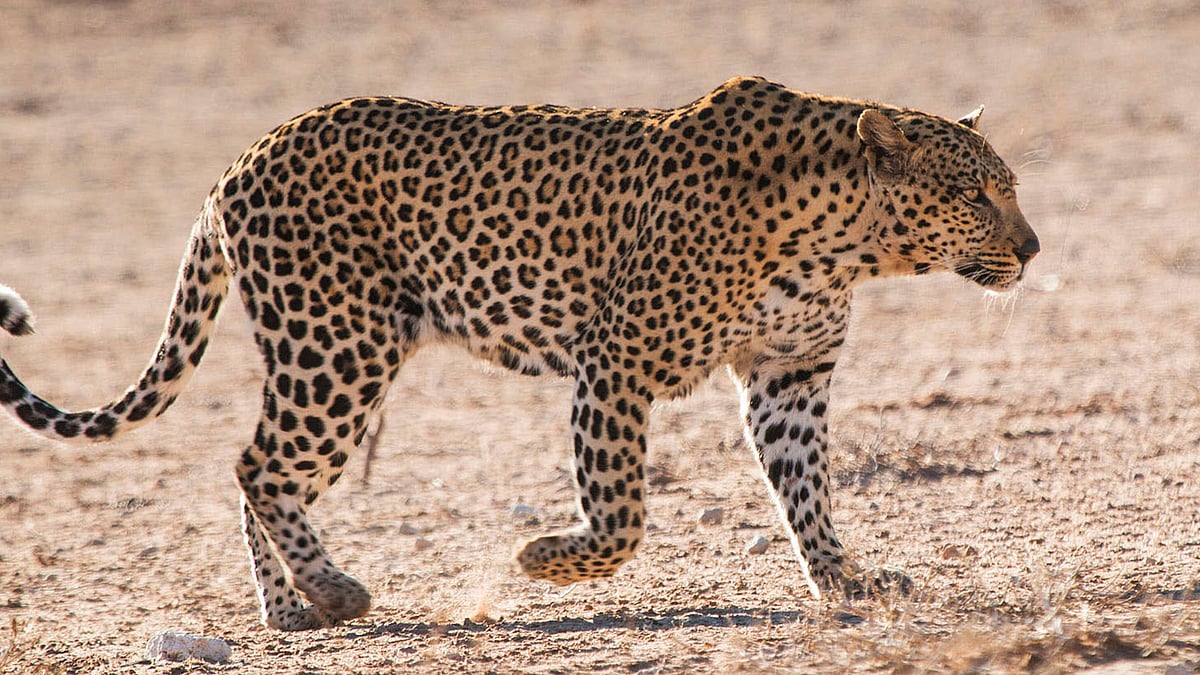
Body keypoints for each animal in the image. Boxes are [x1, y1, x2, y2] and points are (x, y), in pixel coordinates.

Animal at [0, 76, 1039, 631]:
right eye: (976, 194)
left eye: (1012, 187)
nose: (1032, 249)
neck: (843, 239)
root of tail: (238, 160)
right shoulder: (616, 358)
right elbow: (621, 513)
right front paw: (543, 558)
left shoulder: (791, 374)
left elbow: (807, 488)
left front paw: (843, 578)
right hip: (338, 347)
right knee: (258, 462)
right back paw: (332, 590)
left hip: (329, 355)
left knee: (259, 468)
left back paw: (290, 608)